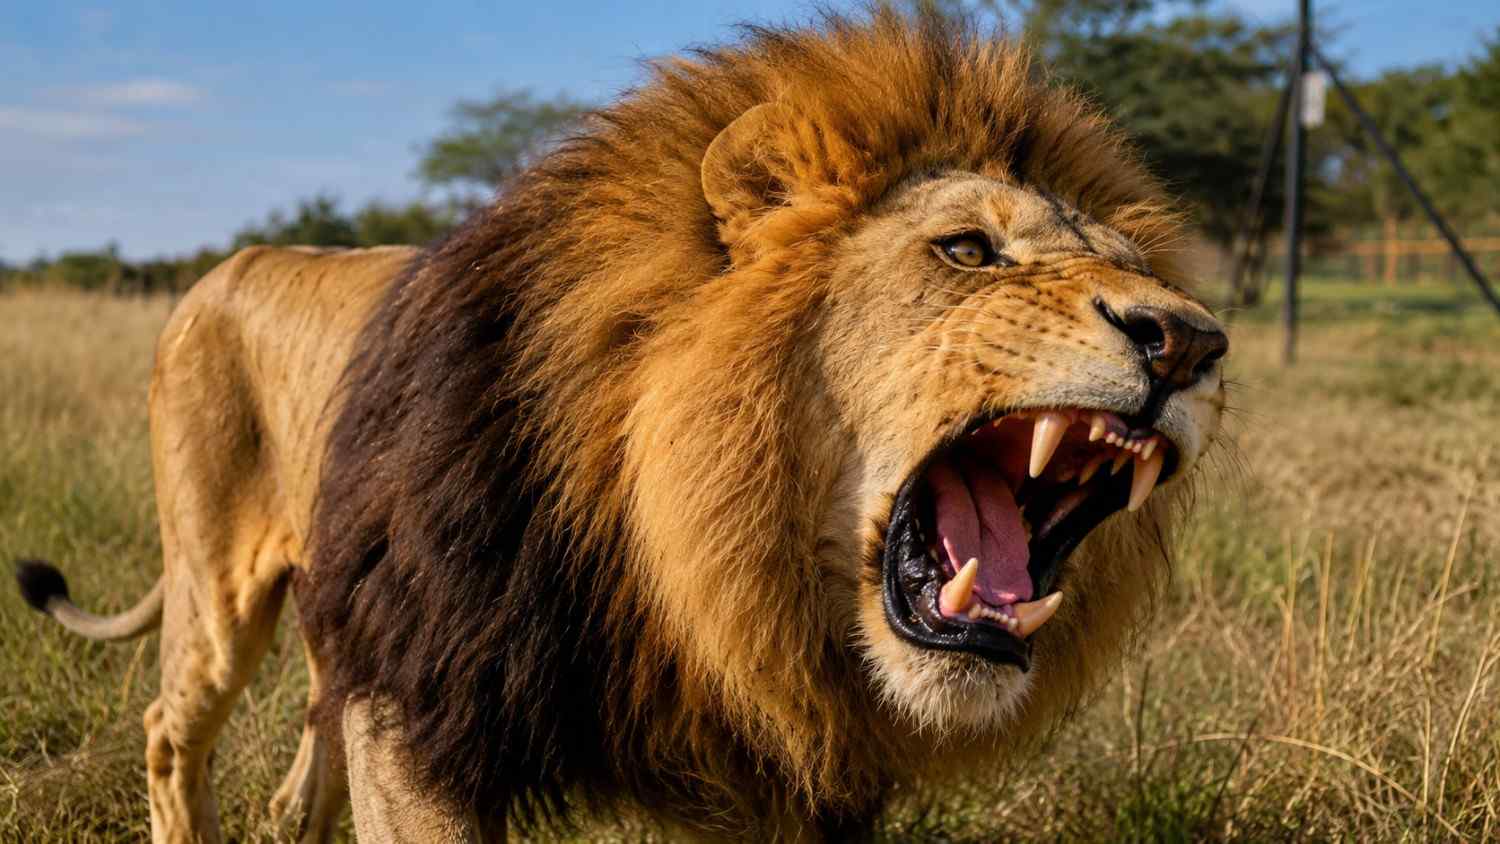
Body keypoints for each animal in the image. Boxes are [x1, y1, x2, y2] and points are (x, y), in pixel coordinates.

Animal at [14, 9, 1229, 842]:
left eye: (1138, 270)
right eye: (969, 250)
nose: (1189, 342)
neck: (686, 561)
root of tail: (226, 267)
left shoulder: (777, 780)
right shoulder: (423, 700)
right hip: (217, 580)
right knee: (170, 731)